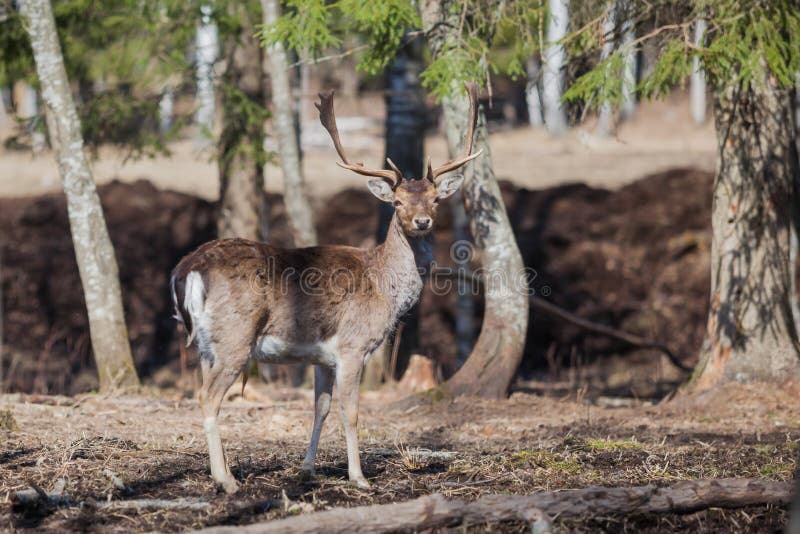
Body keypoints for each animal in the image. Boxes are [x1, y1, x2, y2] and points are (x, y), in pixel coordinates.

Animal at [170, 83, 482, 493]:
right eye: (397, 202)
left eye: (435, 199)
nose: (422, 221)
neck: (384, 288)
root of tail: (187, 269)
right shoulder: (353, 345)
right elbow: (351, 411)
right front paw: (359, 477)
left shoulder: (320, 356)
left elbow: (320, 407)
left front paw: (307, 469)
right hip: (235, 335)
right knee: (208, 397)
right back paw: (228, 481)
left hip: (208, 343)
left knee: (204, 392)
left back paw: (220, 475)